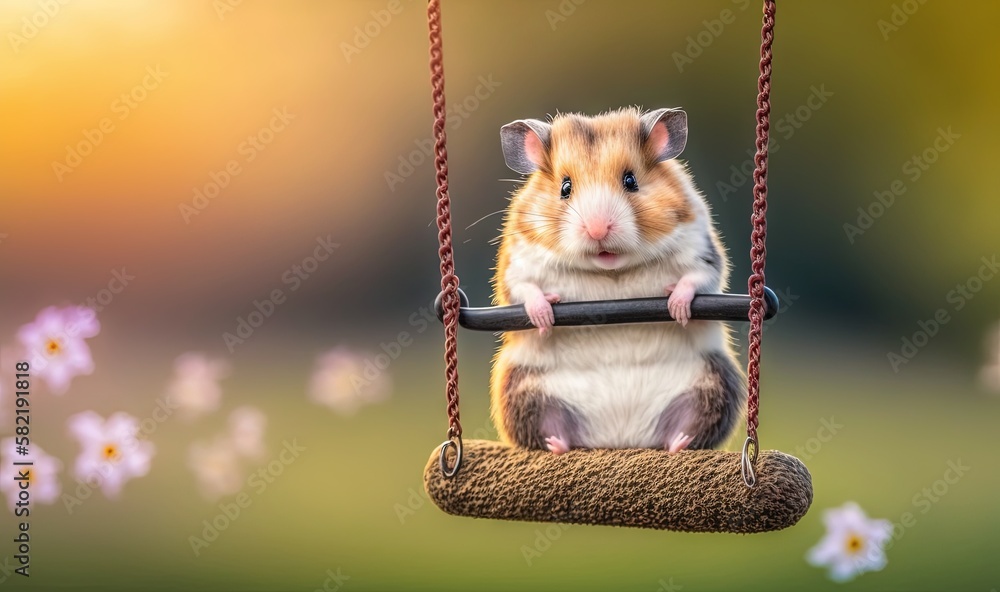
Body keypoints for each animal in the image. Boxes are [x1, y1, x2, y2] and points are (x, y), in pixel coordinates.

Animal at [489, 106, 746, 455]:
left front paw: (677, 308)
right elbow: (525, 290)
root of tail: (618, 439)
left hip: (717, 380)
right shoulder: (517, 263)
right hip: (519, 389)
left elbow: (696, 279)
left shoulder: (702, 252)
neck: (611, 271)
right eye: (565, 188)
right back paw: (558, 444)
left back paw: (678, 443)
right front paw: (544, 316)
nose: (598, 230)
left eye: (631, 180)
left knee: (694, 424)